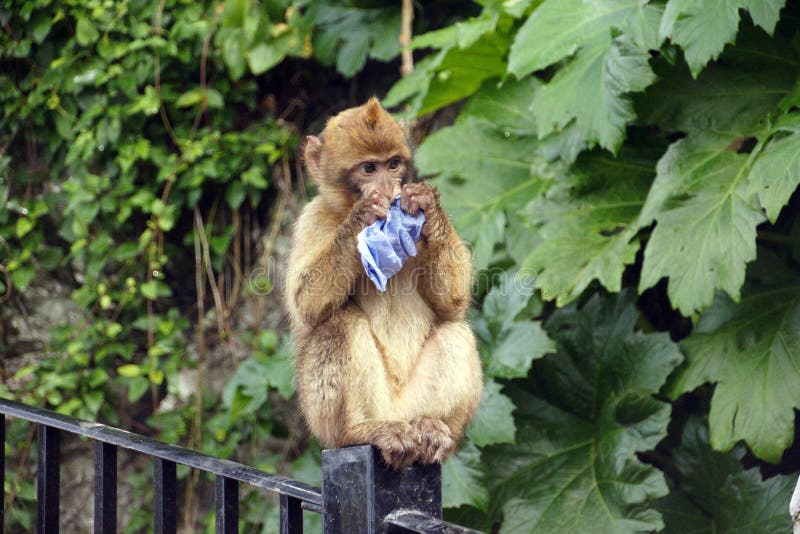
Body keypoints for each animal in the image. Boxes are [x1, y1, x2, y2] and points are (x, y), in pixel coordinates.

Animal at [285, 98, 483, 469]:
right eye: (368, 168)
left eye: (393, 164)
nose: (388, 188)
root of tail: (395, 415)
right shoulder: (312, 218)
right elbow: (306, 303)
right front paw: (364, 214)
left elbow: (452, 303)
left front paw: (427, 205)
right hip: (331, 417)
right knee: (339, 323)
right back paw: (359, 431)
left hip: (413, 404)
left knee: (455, 331)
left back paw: (433, 429)